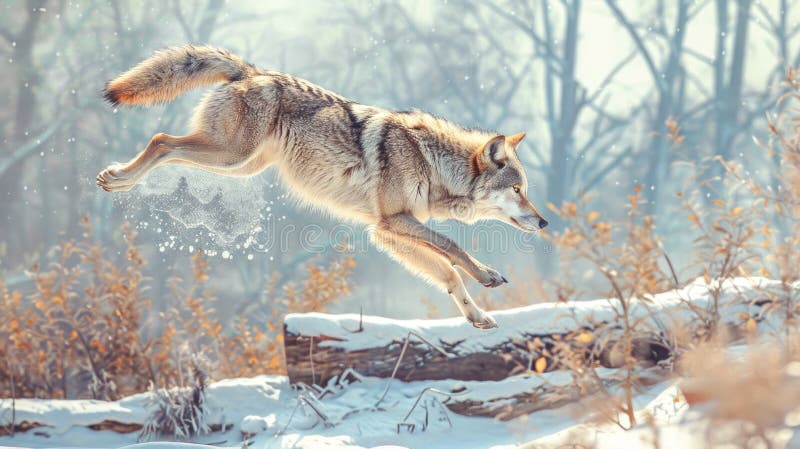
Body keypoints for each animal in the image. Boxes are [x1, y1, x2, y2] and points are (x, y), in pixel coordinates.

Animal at [99, 46, 548, 329]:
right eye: (518, 190)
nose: (544, 222)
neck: (433, 162)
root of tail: (253, 71)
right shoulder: (393, 222)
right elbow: (454, 248)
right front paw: (487, 275)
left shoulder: (387, 232)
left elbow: (448, 272)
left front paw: (478, 317)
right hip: (231, 155)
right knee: (161, 140)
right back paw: (116, 177)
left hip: (238, 164)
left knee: (168, 149)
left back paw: (120, 180)